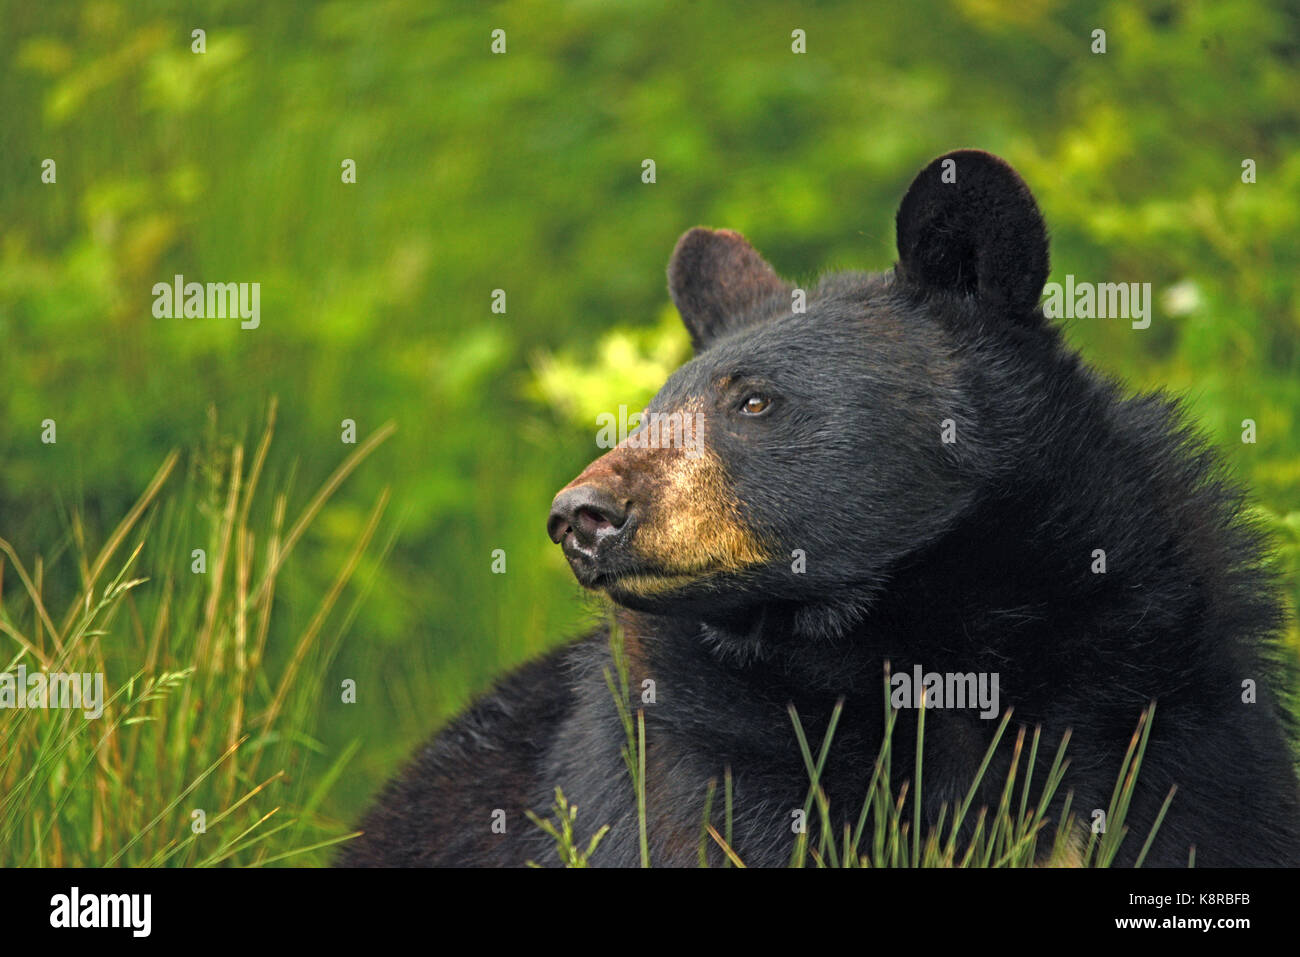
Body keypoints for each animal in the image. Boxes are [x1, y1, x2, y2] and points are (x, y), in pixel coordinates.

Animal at [340, 149, 1300, 868]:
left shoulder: (1172, 700)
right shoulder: (706, 752)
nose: (583, 514)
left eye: (754, 401)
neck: (917, 635)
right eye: (649, 414)